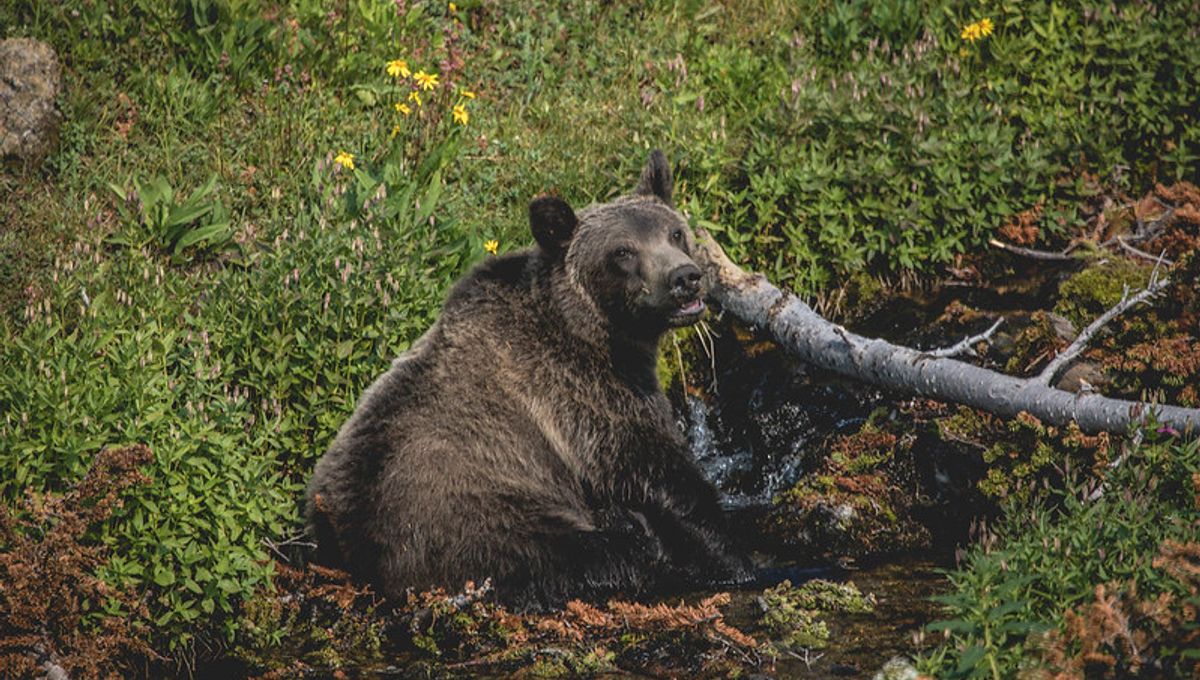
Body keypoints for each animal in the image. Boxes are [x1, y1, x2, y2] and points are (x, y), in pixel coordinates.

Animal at [305, 150, 750, 608]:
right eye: (623, 251)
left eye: (675, 232)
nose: (685, 278)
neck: (600, 333)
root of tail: (350, 548)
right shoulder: (583, 393)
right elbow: (656, 467)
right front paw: (734, 558)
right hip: (485, 519)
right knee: (594, 555)